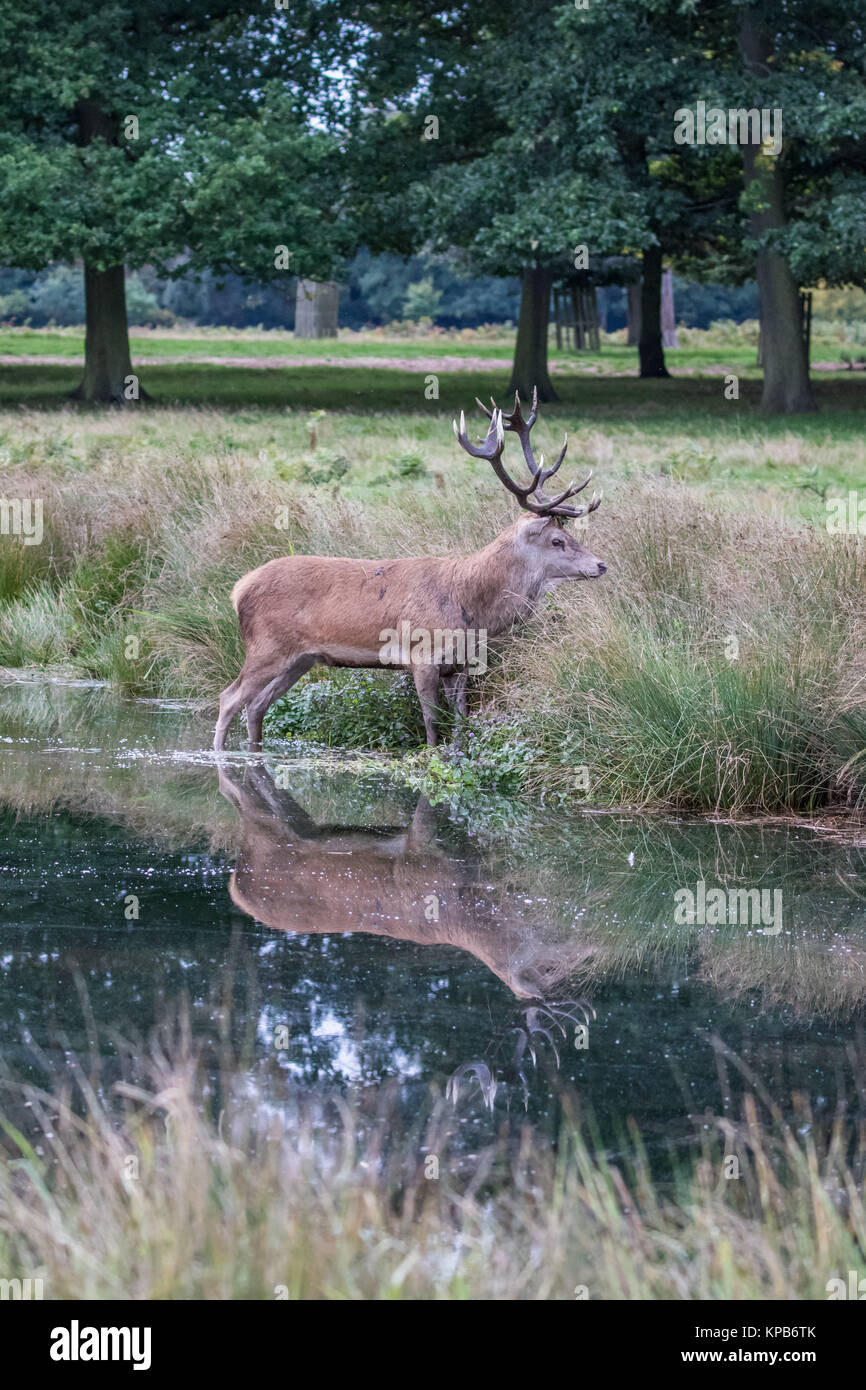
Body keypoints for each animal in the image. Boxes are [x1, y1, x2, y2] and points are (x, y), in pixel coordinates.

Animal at [213, 388, 606, 751]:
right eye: (556, 540)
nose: (600, 564)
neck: (470, 608)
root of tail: (238, 589)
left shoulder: (459, 665)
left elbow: (460, 724)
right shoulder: (422, 655)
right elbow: (432, 725)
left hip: (301, 659)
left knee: (256, 706)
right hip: (266, 646)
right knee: (229, 699)